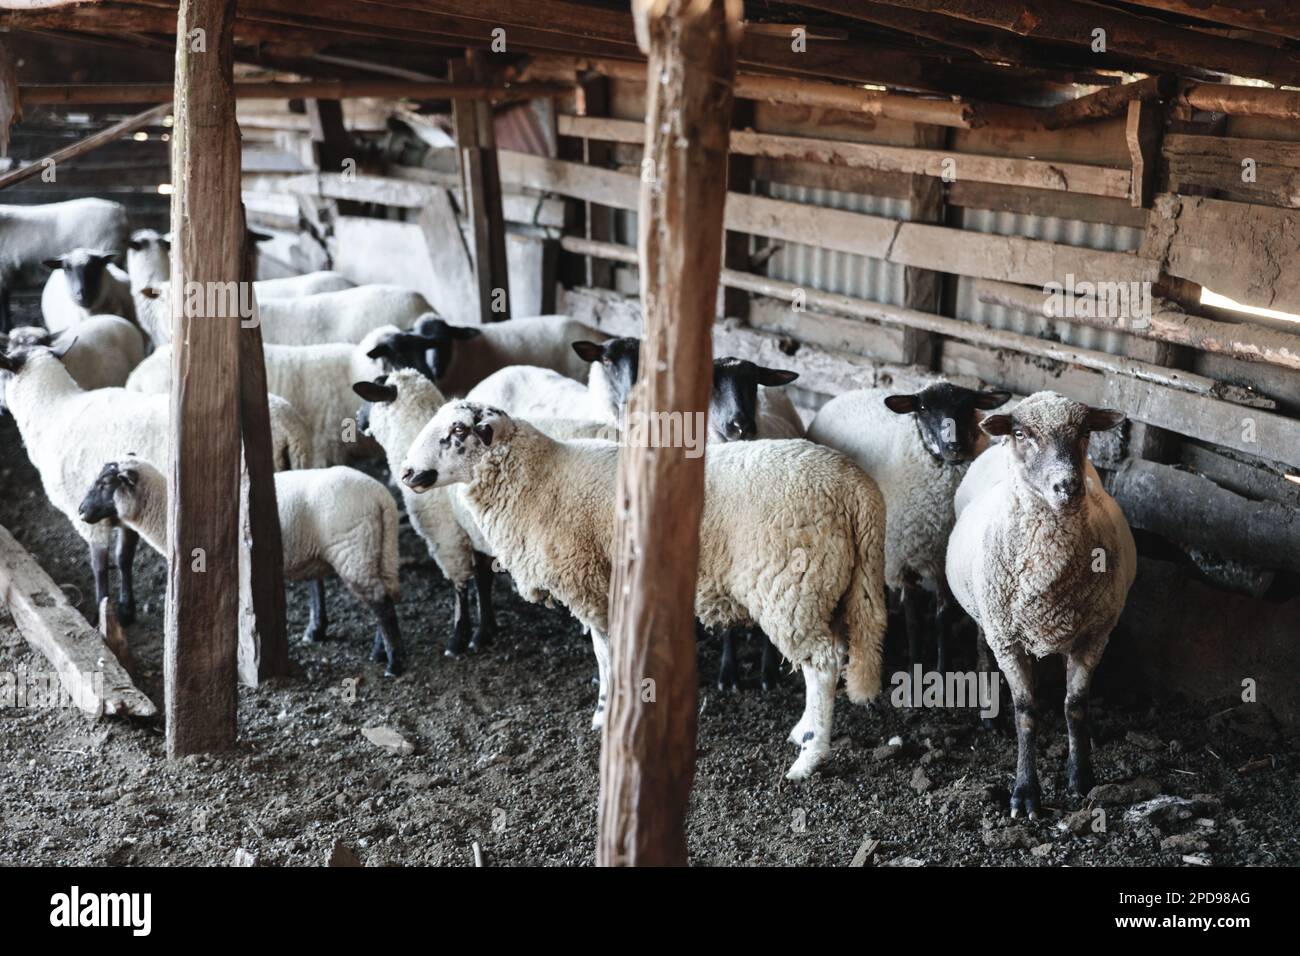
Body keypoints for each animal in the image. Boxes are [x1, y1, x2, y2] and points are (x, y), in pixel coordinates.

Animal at [0, 342, 311, 625]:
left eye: (2, 372)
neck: (52, 412)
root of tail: (291, 427)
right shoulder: (126, 512)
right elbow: (123, 558)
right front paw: (126, 610)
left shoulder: (90, 520)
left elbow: (99, 566)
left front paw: (102, 612)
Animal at [79, 458, 404, 676]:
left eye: (106, 484)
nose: (81, 512)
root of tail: (382, 498)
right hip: (377, 550)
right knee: (385, 596)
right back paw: (379, 652)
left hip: (353, 550)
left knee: (381, 603)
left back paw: (393, 664)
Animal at [400, 401, 888, 781]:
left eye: (457, 432)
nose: (406, 471)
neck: (539, 481)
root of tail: (856, 488)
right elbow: (606, 652)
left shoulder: (588, 584)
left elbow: (606, 654)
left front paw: (609, 714)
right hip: (829, 587)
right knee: (830, 657)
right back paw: (804, 730)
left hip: (791, 586)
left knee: (822, 664)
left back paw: (809, 758)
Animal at [808, 382, 1011, 681]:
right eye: (923, 408)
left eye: (968, 405)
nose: (954, 447)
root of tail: (847, 394)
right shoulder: (903, 560)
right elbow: (913, 620)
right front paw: (915, 664)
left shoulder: (941, 562)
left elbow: (942, 618)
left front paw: (942, 669)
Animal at [945, 391, 1135, 817]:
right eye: (1021, 433)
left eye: (1084, 432)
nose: (1067, 486)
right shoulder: (1007, 638)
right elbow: (1026, 712)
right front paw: (1025, 793)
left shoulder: (1094, 635)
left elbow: (1075, 706)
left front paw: (1081, 777)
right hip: (986, 616)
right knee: (981, 650)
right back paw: (988, 714)